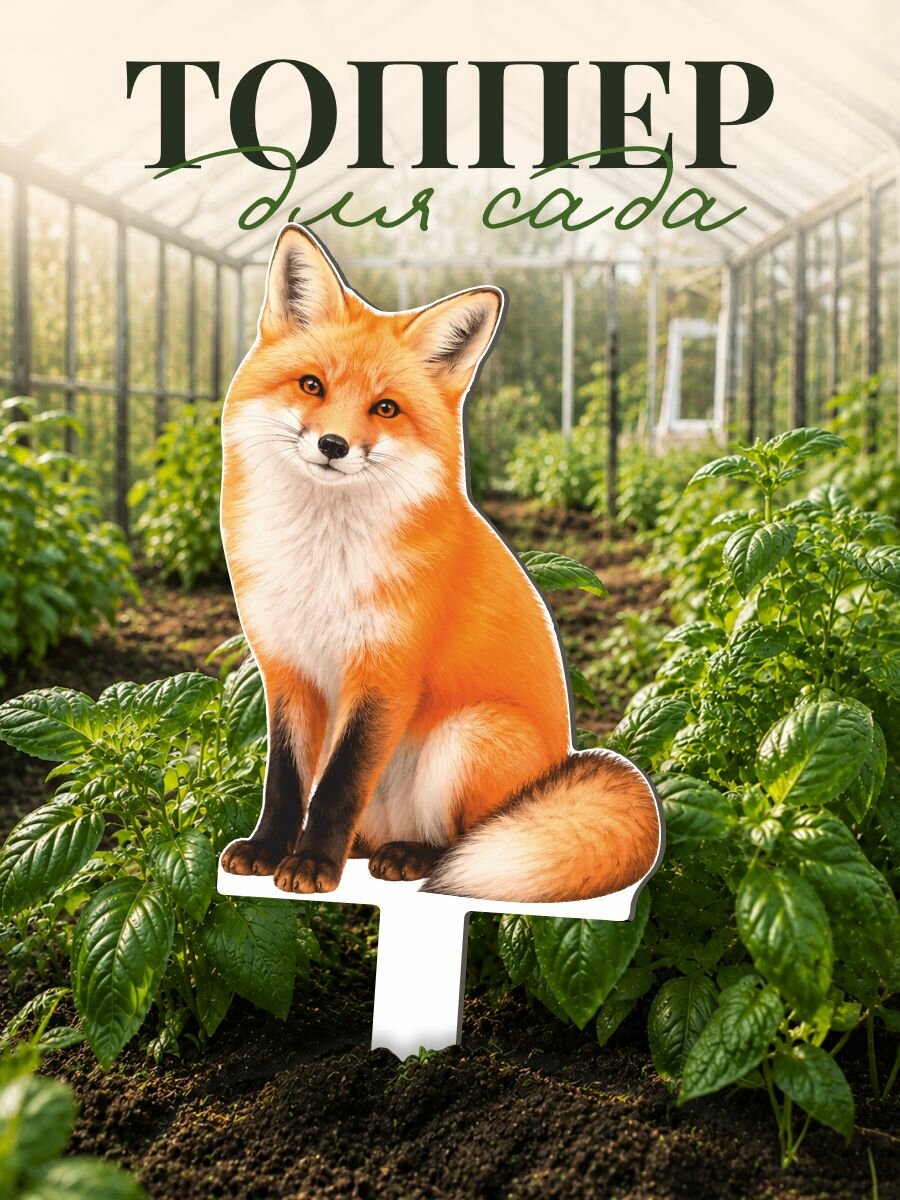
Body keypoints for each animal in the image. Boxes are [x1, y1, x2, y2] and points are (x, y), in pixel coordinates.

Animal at [219, 223, 661, 902]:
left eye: (386, 408)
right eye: (312, 385)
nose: (332, 445)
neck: (323, 559)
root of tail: (563, 761)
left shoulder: (385, 673)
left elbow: (337, 786)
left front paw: (313, 864)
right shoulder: (286, 669)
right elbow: (287, 782)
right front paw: (269, 849)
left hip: (471, 736)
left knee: (467, 839)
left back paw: (412, 857)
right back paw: (367, 852)